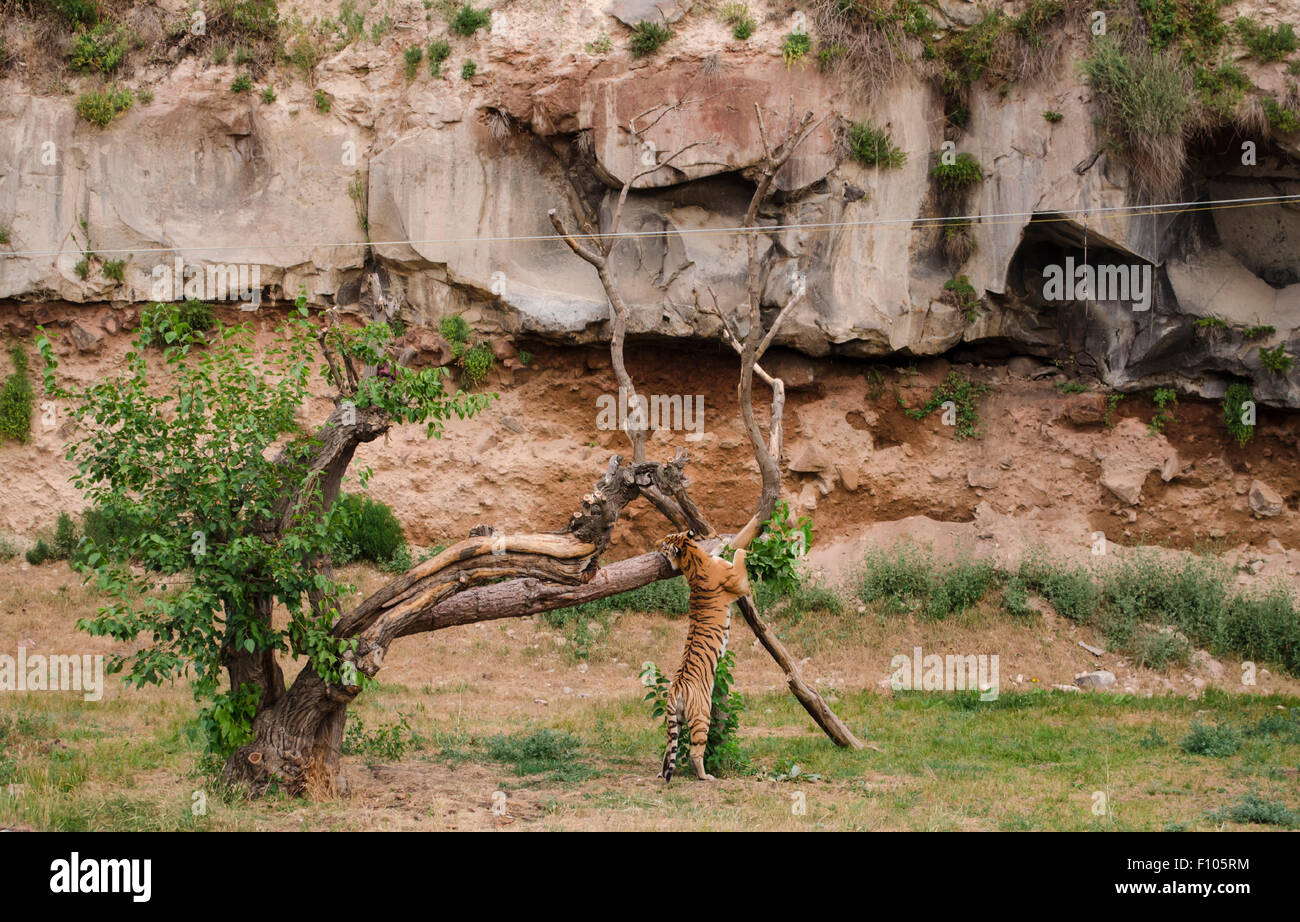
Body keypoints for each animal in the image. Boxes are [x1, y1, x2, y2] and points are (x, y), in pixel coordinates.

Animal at [657, 530, 751, 783]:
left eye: (666, 539)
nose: (655, 544)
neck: (693, 560)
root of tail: (677, 687)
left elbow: (717, 550)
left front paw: (723, 542)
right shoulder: (738, 581)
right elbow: (739, 556)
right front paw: (742, 548)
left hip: (674, 721)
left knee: (669, 748)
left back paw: (661, 773)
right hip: (701, 716)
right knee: (695, 752)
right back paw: (705, 776)